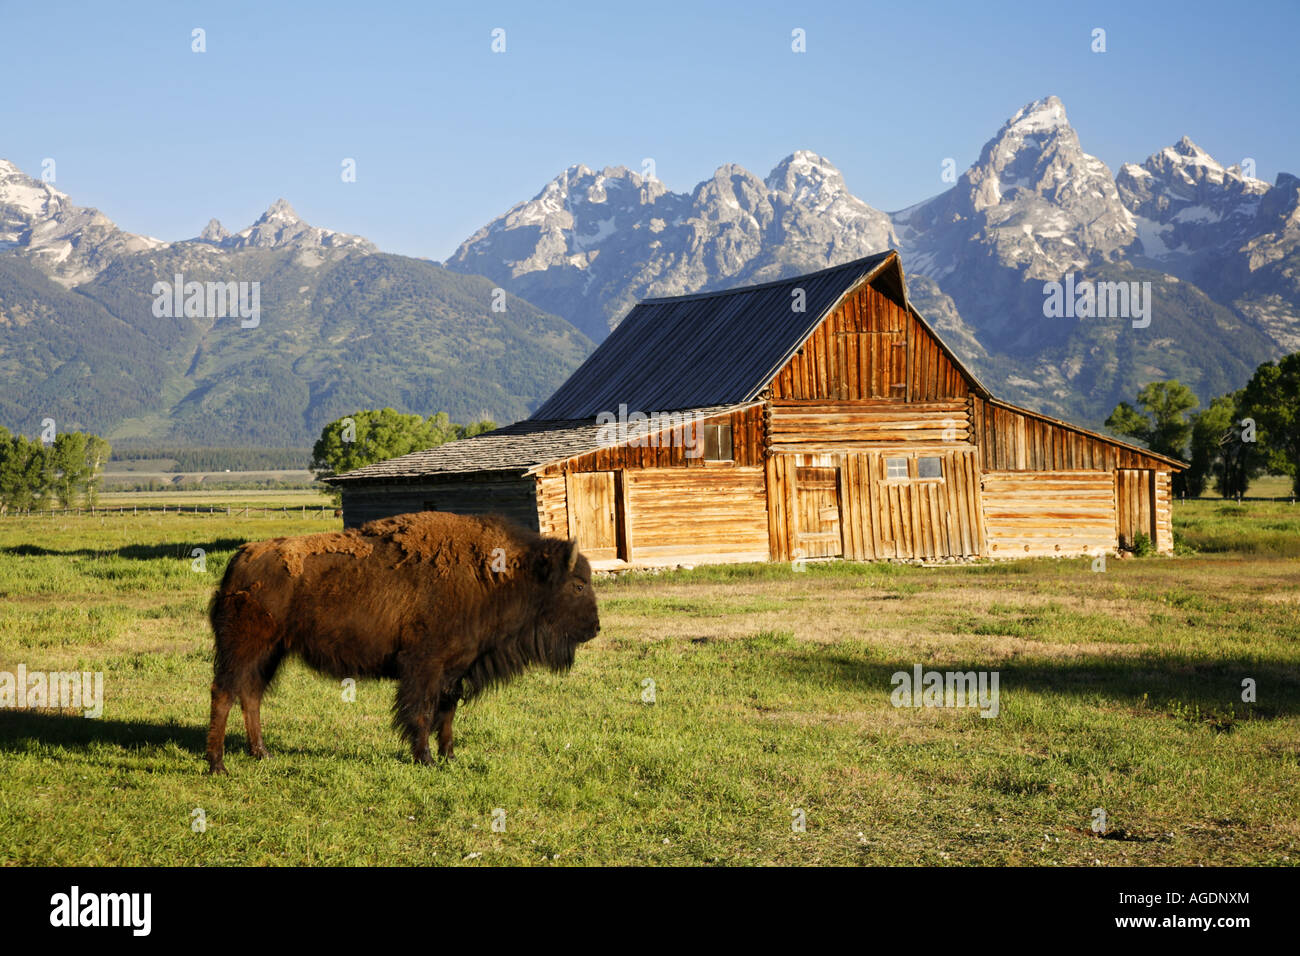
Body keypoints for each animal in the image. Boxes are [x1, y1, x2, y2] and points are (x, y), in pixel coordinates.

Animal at [204, 511, 599, 773]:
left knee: (251, 694)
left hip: (271, 652)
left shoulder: (455, 670)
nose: (594, 628)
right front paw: (425, 759)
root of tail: (241, 559)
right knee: (224, 693)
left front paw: (450, 757)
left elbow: (447, 713)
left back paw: (261, 753)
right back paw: (218, 765)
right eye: (578, 585)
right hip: (243, 648)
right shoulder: (424, 666)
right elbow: (421, 712)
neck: (494, 576)